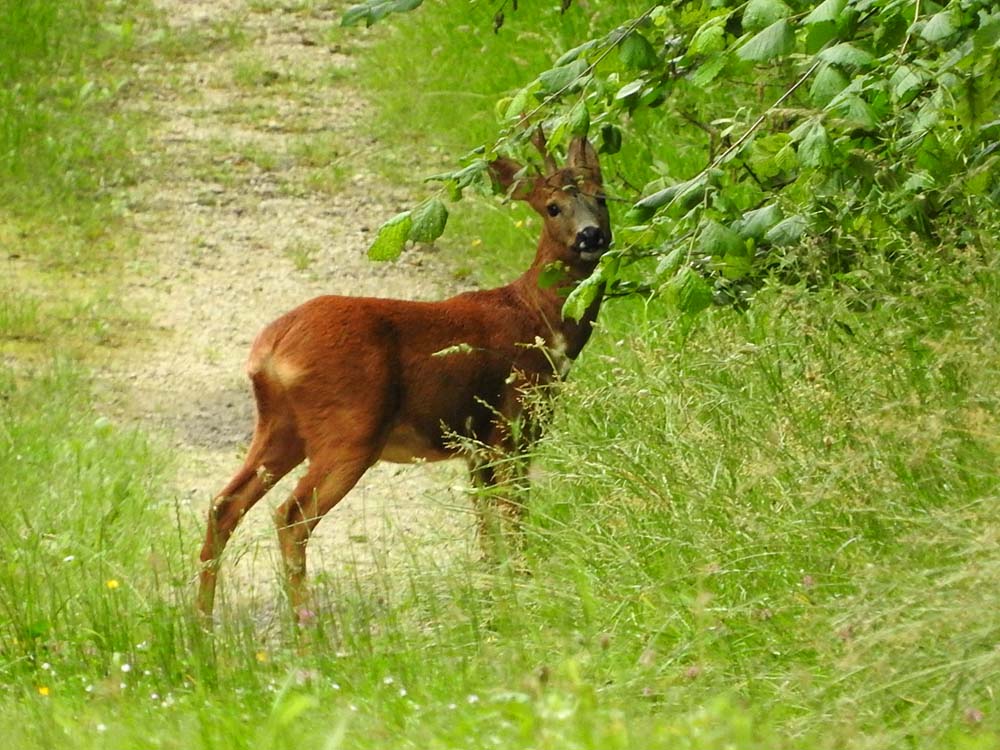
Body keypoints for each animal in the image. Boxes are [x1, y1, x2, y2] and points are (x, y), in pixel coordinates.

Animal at [196, 133, 612, 619]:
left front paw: (496, 589)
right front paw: (523, 585)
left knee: (225, 505)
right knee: (291, 517)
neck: (538, 317)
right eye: (552, 207)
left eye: (602, 197)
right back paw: (305, 624)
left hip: (280, 425)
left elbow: (485, 521)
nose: (590, 235)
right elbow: (512, 512)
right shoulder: (514, 423)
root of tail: (271, 349)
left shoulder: (475, 444)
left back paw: (201, 621)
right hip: (351, 429)